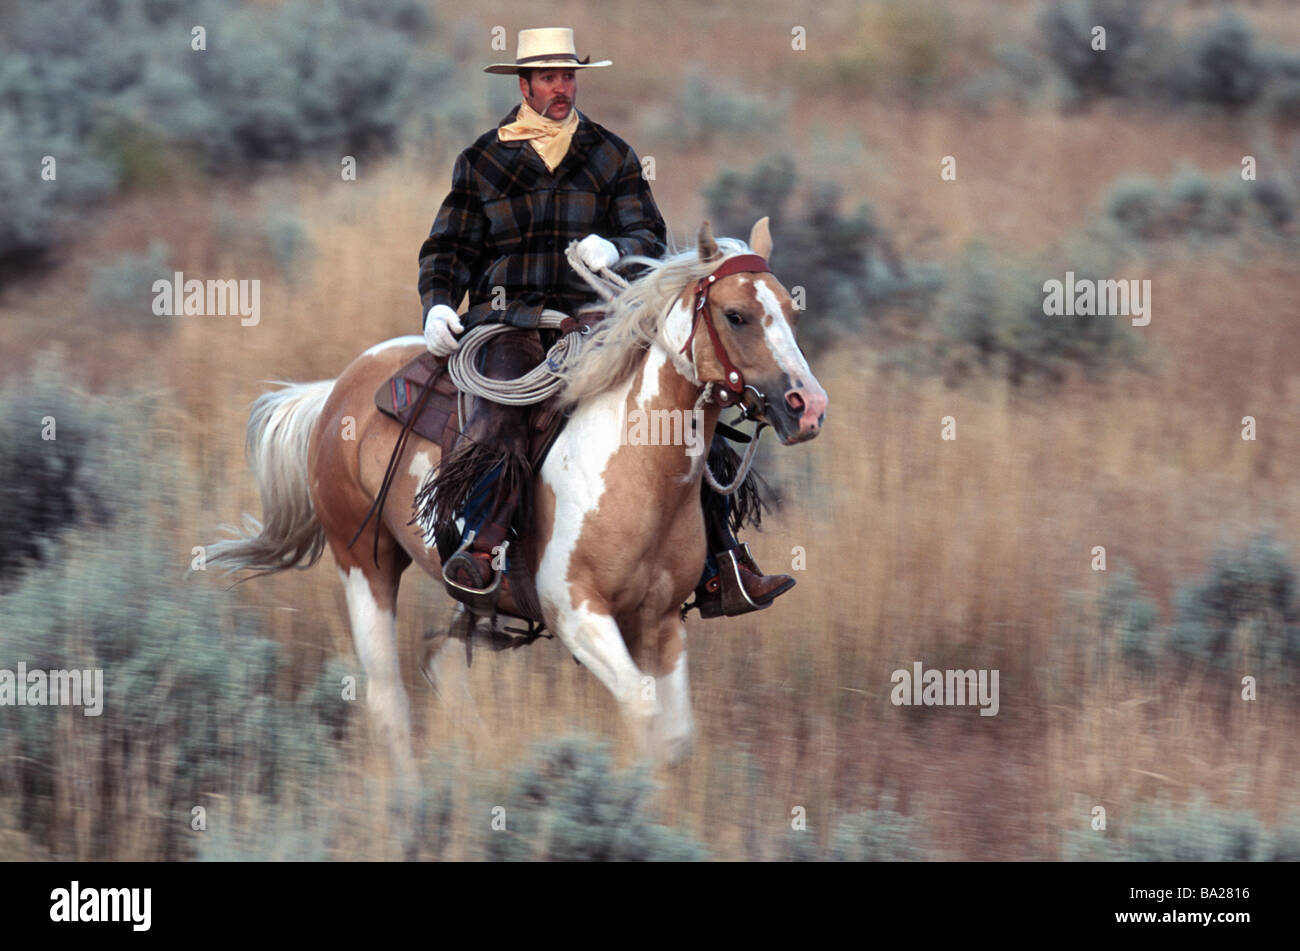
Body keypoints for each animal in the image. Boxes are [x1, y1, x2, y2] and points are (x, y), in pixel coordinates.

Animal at [208, 217, 828, 766]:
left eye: (792, 310)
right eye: (736, 315)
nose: (809, 407)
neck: (636, 470)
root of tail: (335, 389)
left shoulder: (661, 619)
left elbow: (673, 736)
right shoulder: (577, 612)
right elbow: (644, 709)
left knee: (441, 659)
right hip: (364, 563)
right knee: (389, 697)